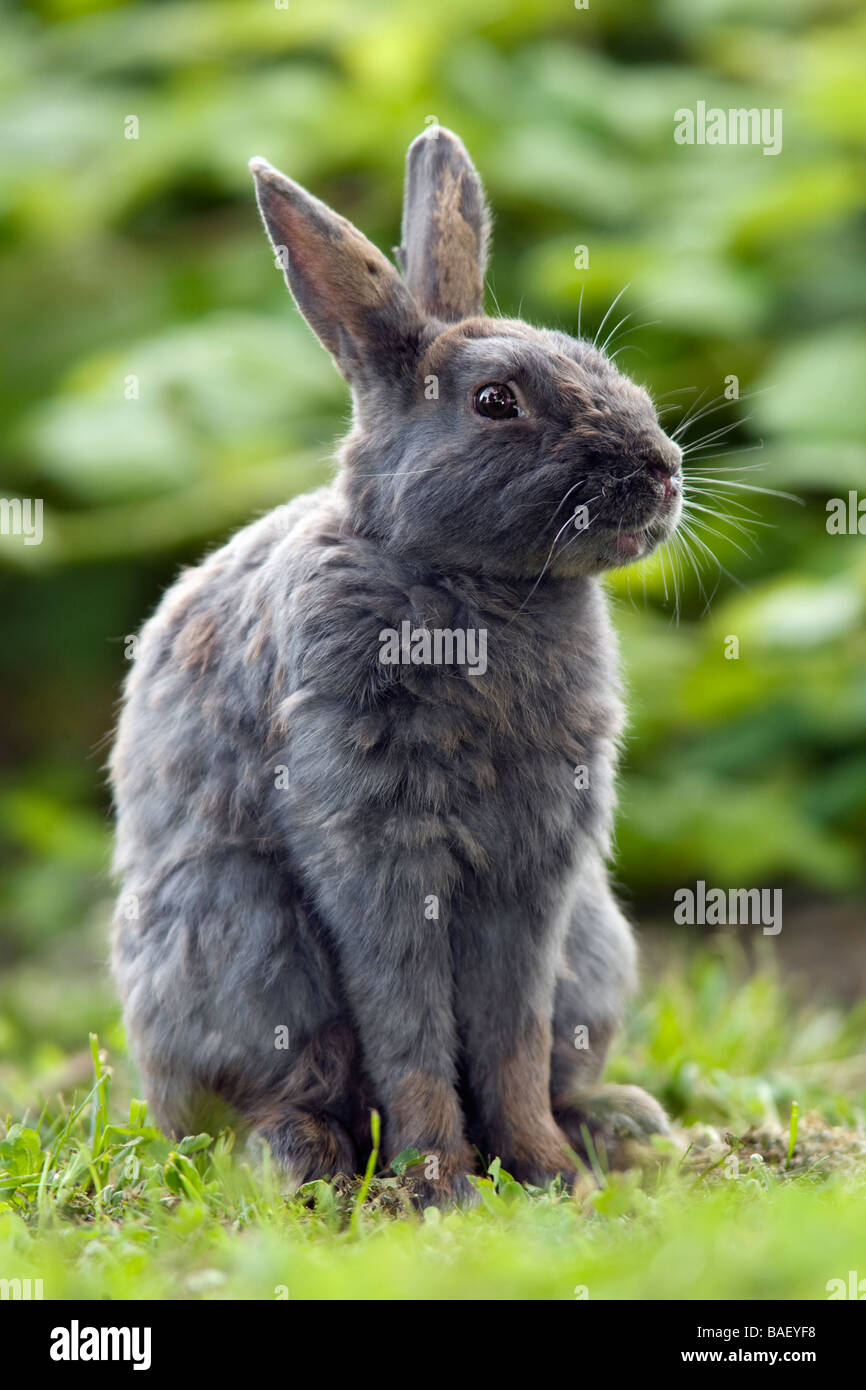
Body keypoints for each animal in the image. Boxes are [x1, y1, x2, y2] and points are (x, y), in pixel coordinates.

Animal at [110, 125, 681, 1207]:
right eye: (494, 402)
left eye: (601, 364)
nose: (662, 469)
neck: (468, 587)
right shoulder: (374, 851)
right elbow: (409, 1028)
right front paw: (441, 1186)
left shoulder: (536, 876)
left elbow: (511, 1036)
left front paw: (545, 1174)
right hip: (240, 938)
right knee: (275, 1093)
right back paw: (303, 1159)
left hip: (593, 936)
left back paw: (620, 1126)